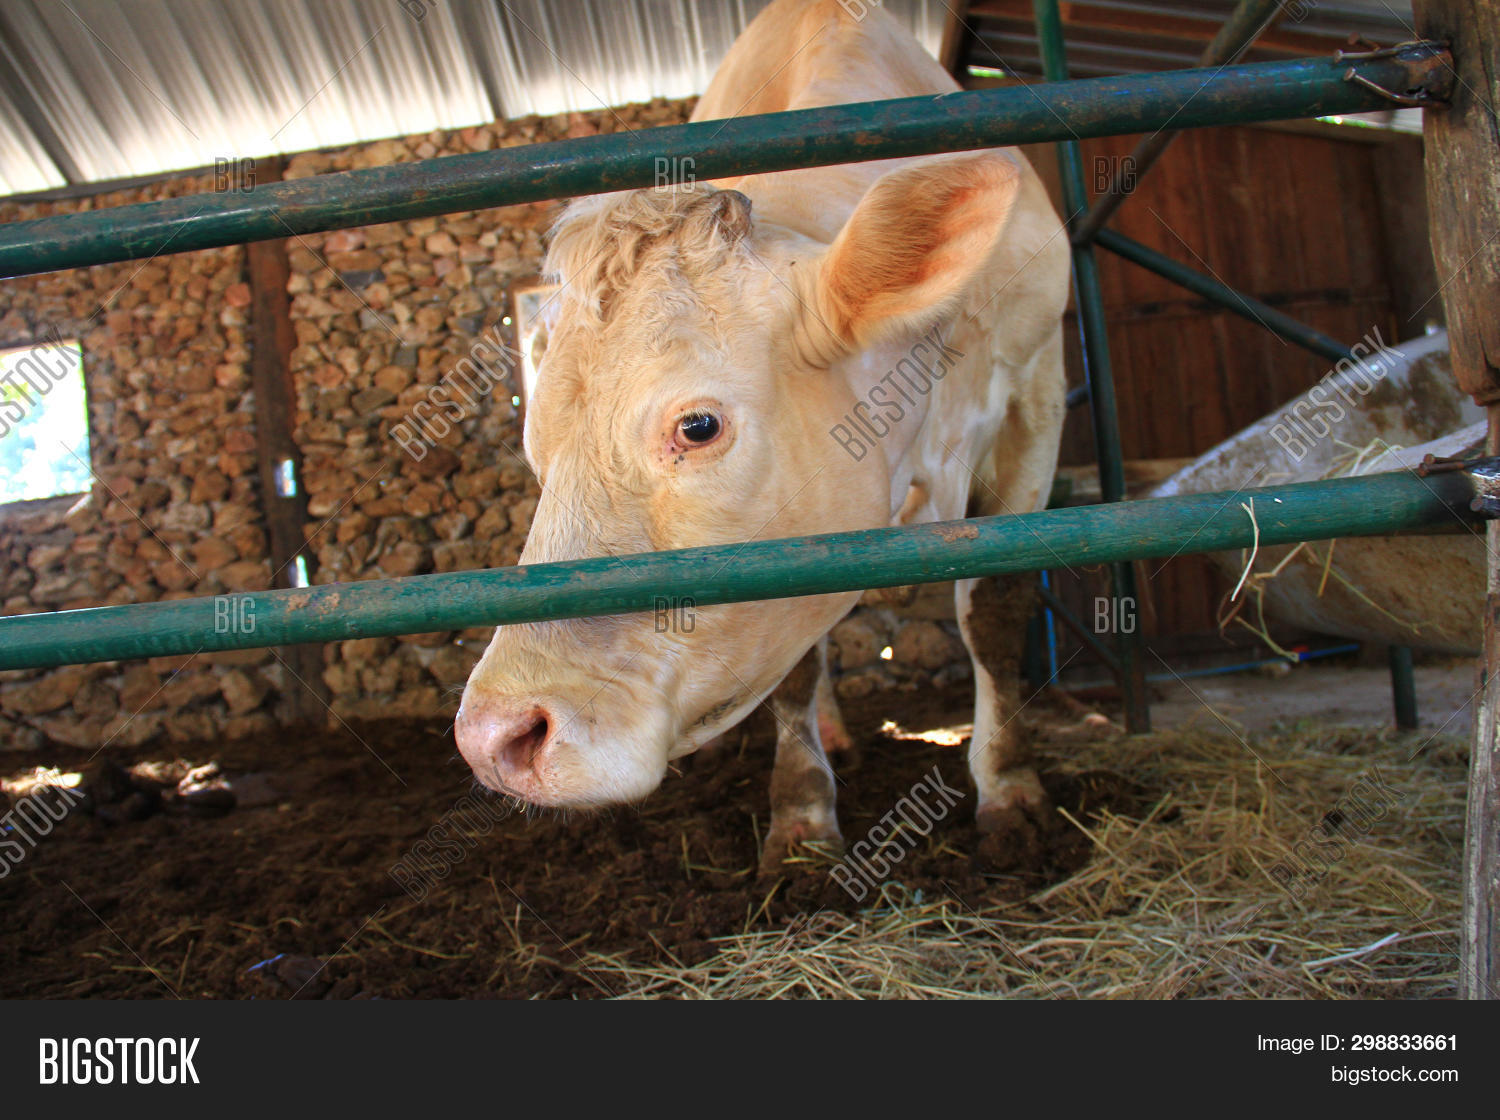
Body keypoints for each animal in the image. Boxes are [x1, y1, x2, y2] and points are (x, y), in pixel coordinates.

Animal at [456, 0, 1070, 873]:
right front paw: (803, 815)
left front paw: (1011, 790)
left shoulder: (1035, 397)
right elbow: (795, 667)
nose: (494, 739)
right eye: (536, 450)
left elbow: (995, 613)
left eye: (697, 426)